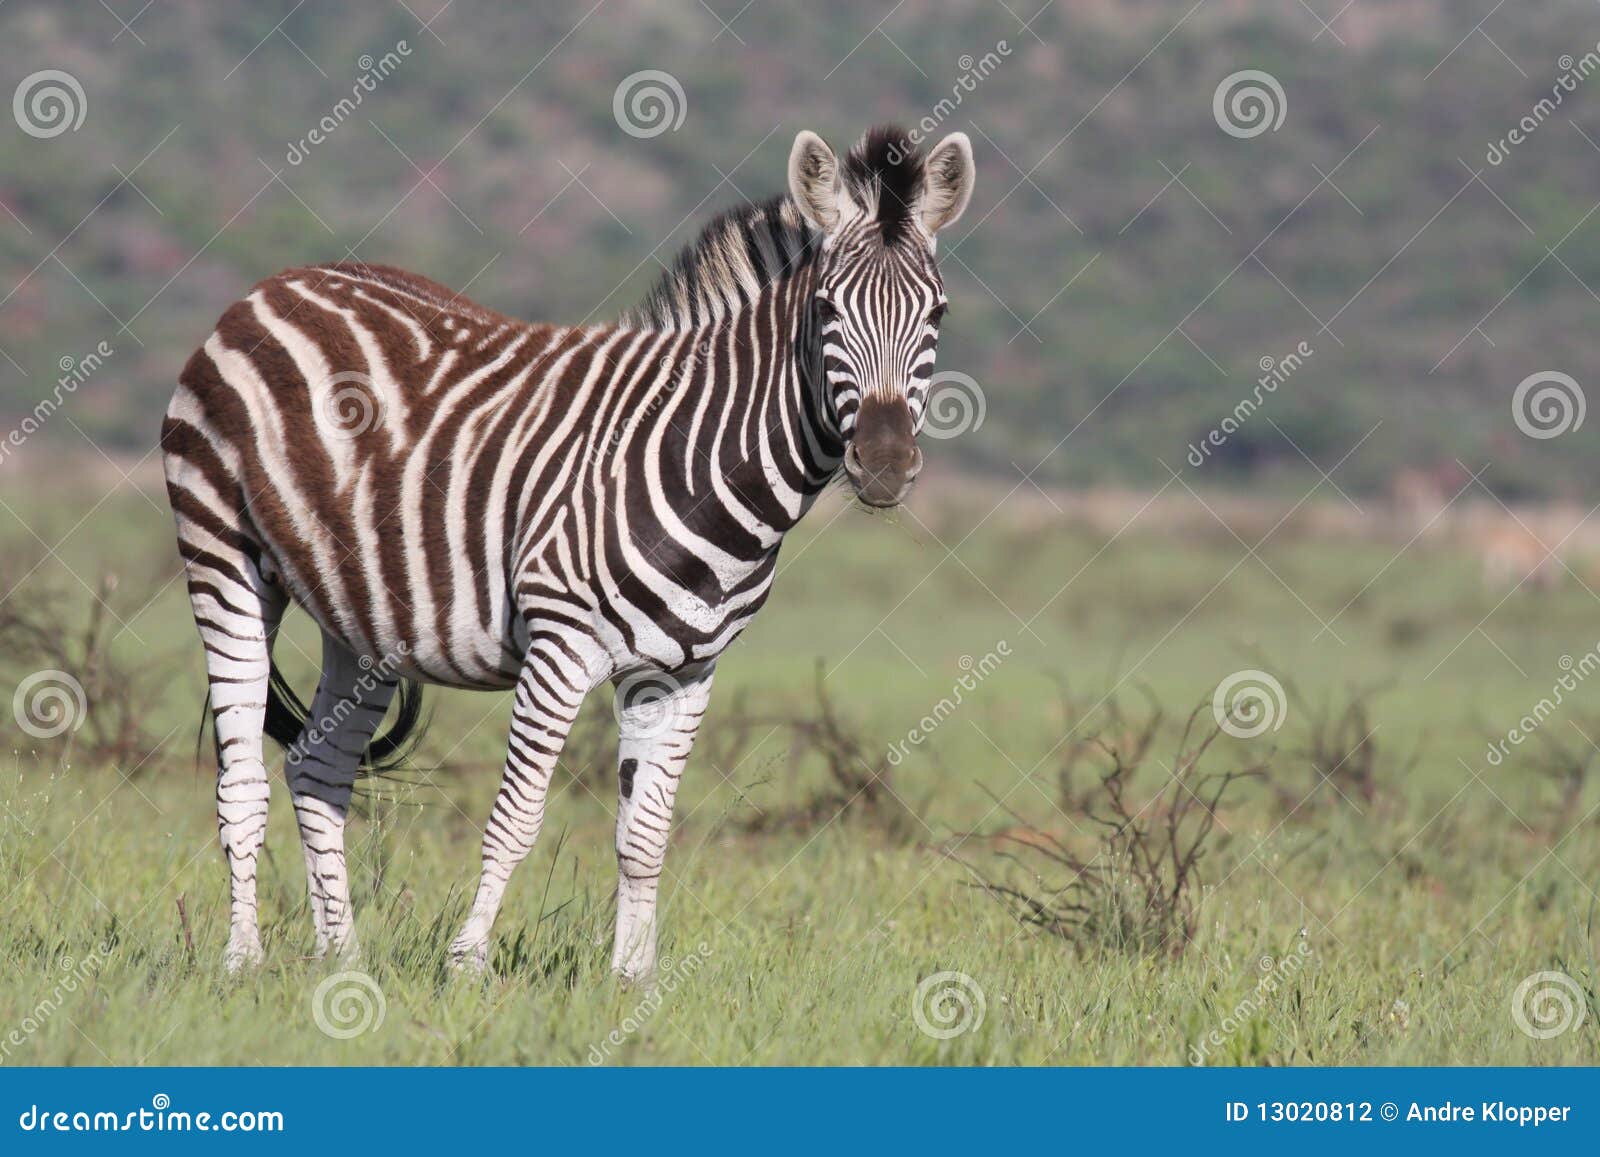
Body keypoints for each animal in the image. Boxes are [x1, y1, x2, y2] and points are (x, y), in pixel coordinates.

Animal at [161, 125, 975, 980]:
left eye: (938, 313)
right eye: (826, 309)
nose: (884, 464)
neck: (704, 466)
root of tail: (276, 284)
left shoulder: (685, 670)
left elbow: (645, 834)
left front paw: (632, 981)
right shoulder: (561, 645)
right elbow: (517, 815)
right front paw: (468, 964)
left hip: (359, 613)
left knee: (317, 768)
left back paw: (342, 959)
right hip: (222, 556)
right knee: (242, 780)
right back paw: (242, 958)